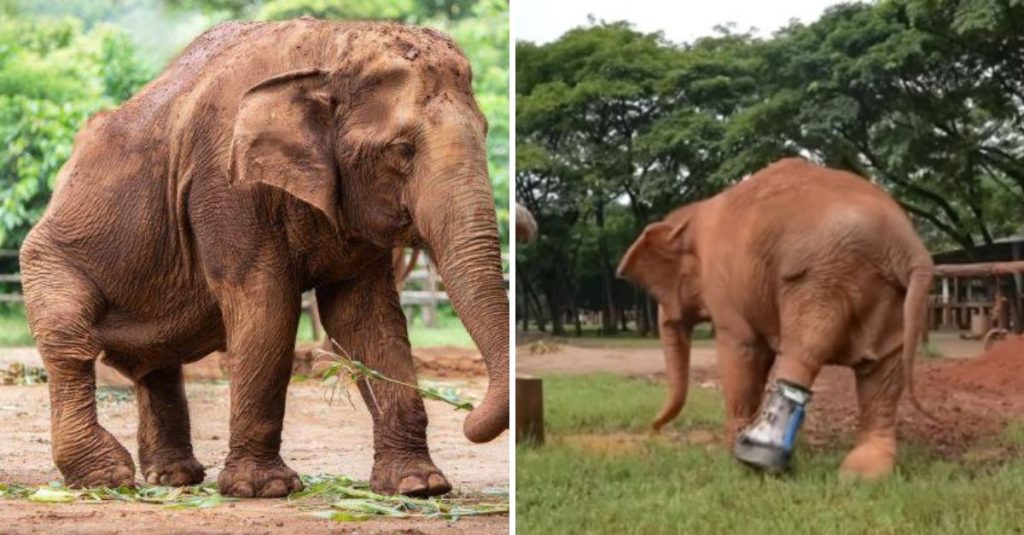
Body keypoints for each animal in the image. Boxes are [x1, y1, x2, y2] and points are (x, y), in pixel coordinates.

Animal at [18, 19, 508, 498]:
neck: (329, 46)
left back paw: (173, 478)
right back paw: (106, 477)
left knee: (155, 363)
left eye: (485, 132)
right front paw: (264, 488)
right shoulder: (226, 185)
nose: (467, 416)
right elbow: (266, 305)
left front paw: (418, 486)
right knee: (68, 339)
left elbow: (365, 317)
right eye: (401, 150)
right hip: (47, 257)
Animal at [617, 158, 933, 479]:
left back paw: (759, 456)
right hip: (889, 290)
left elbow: (742, 350)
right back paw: (864, 473)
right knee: (883, 366)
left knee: (804, 349)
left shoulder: (725, 286)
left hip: (824, 277)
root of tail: (908, 243)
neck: (694, 213)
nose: (652, 429)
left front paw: (729, 451)